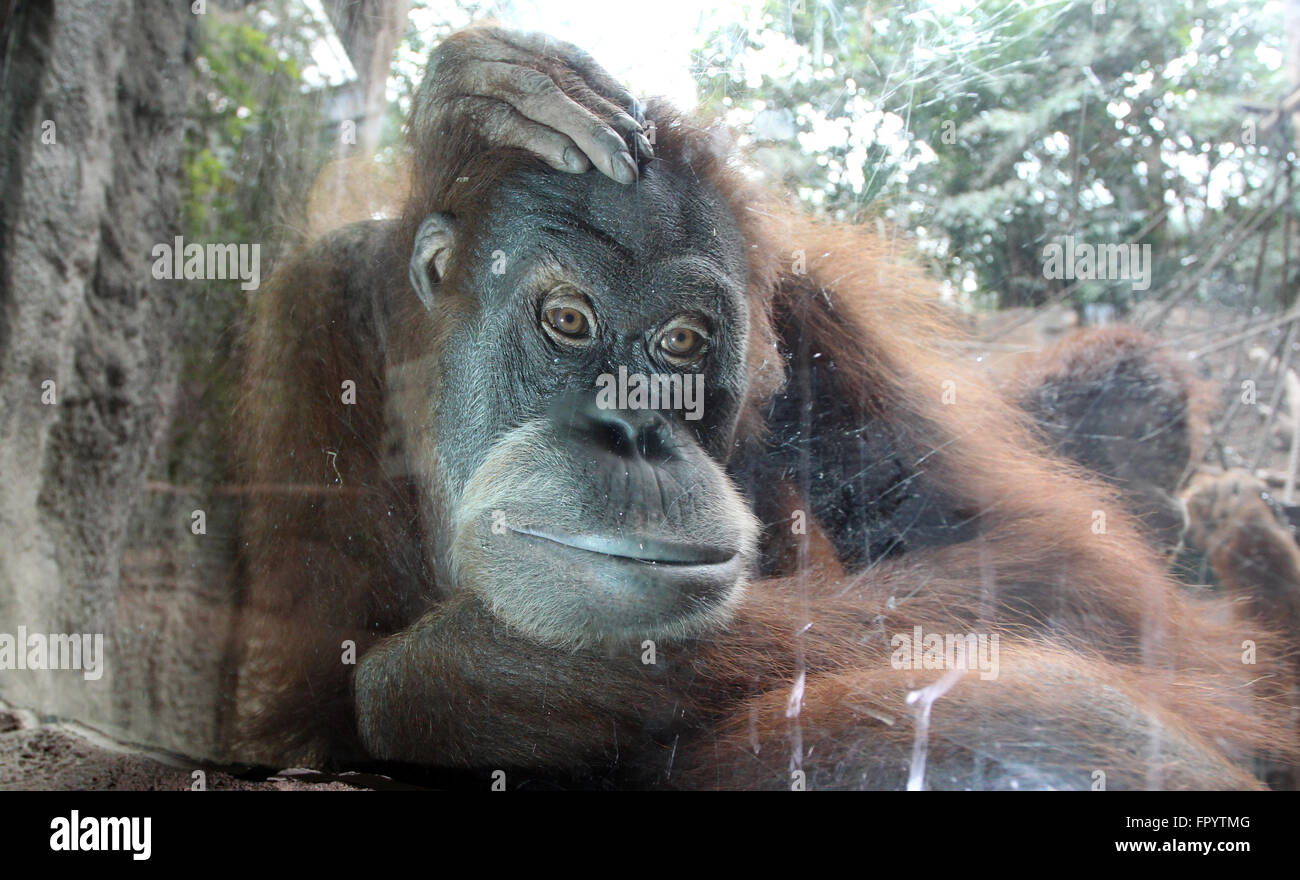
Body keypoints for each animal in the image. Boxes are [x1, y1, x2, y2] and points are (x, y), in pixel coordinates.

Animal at [232, 27, 1297, 789]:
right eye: (568, 320)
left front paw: (448, 671)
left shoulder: (811, 304)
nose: (633, 430)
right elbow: (301, 704)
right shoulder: (318, 307)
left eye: (682, 344)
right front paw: (488, 93)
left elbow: (1054, 571)